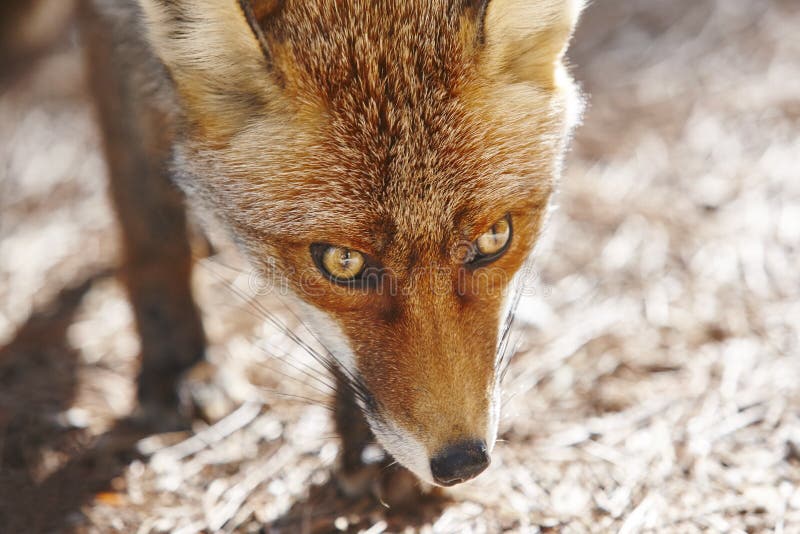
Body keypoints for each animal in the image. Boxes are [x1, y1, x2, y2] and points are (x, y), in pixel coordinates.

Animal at [78, 0, 584, 492]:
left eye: (494, 237)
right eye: (344, 262)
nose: (462, 462)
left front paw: (368, 443)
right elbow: (148, 223)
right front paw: (178, 366)